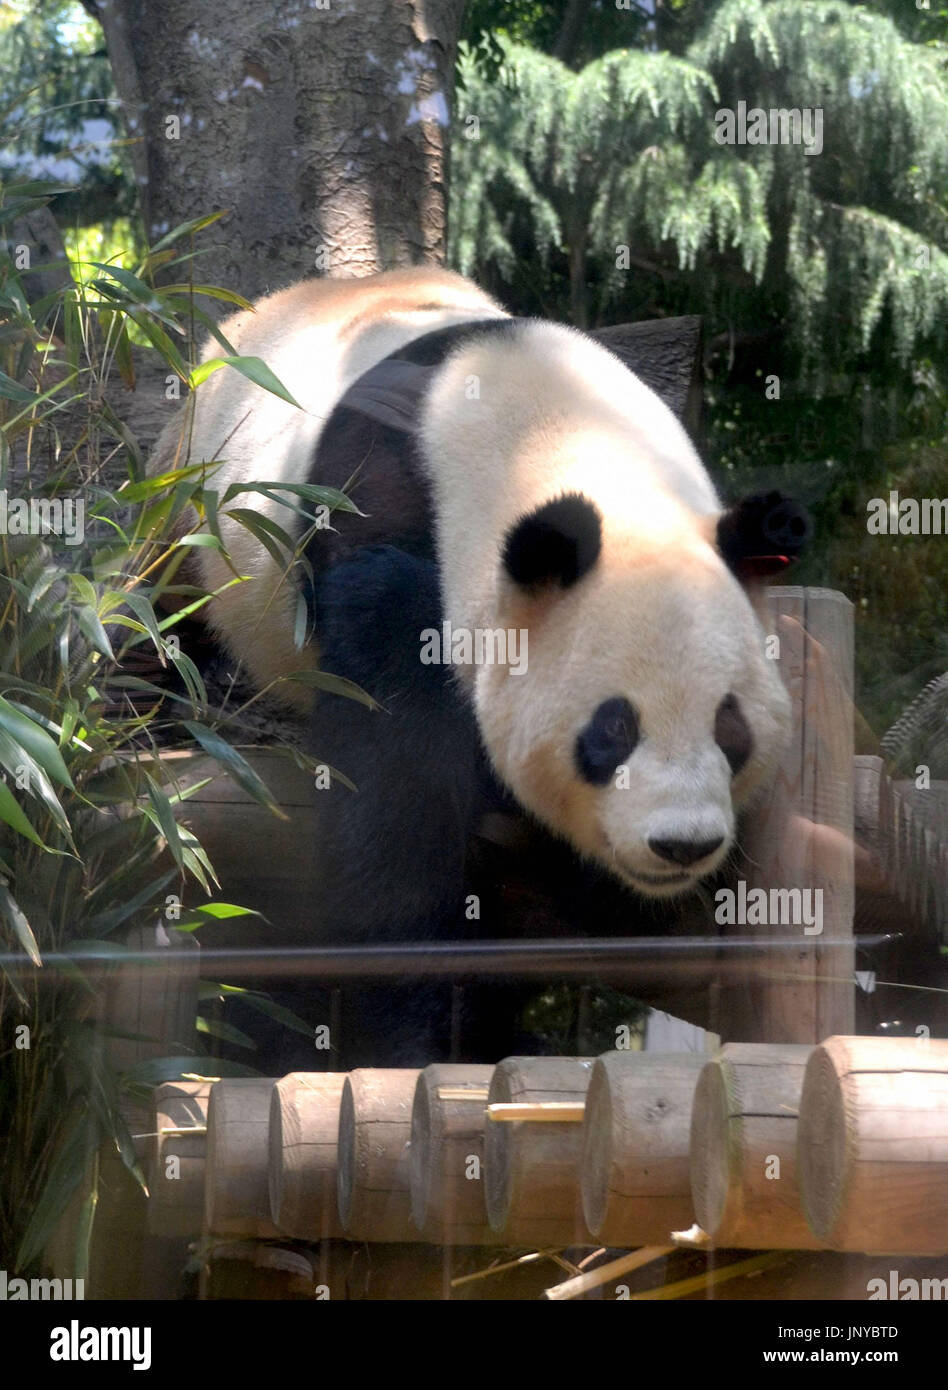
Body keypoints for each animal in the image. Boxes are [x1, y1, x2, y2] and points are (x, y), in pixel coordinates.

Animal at [150, 266, 808, 1065]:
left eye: (730, 727)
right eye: (613, 729)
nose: (682, 843)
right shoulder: (389, 515)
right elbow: (396, 794)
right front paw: (413, 1035)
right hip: (192, 502)